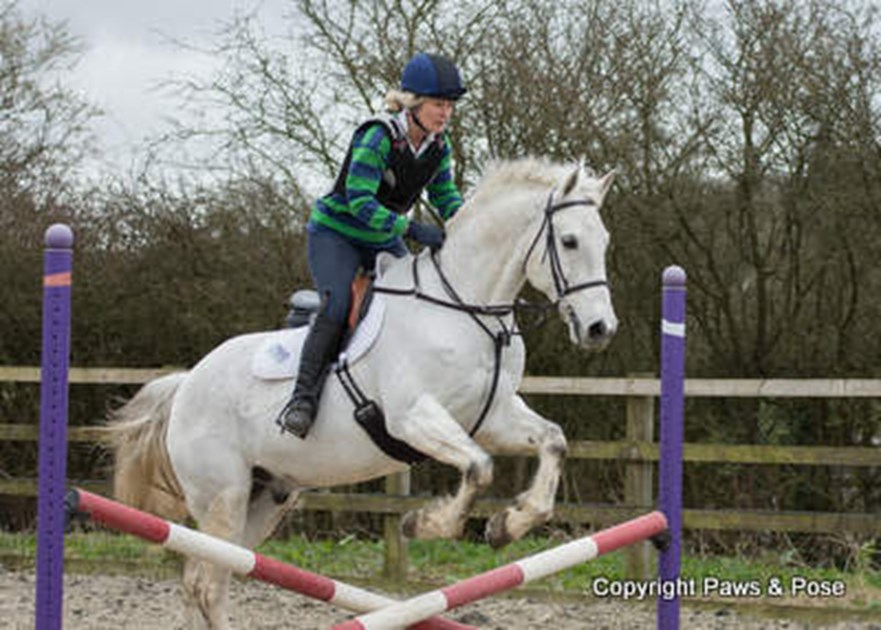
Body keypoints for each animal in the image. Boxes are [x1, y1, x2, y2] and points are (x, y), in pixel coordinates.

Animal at [106, 157, 617, 629]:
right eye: (570, 242)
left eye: (605, 242)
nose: (600, 329)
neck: (465, 307)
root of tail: (186, 384)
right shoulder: (411, 418)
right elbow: (478, 467)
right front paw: (424, 524)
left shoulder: (491, 418)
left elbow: (552, 442)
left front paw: (507, 524)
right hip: (222, 497)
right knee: (206, 583)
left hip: (266, 497)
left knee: (207, 579)